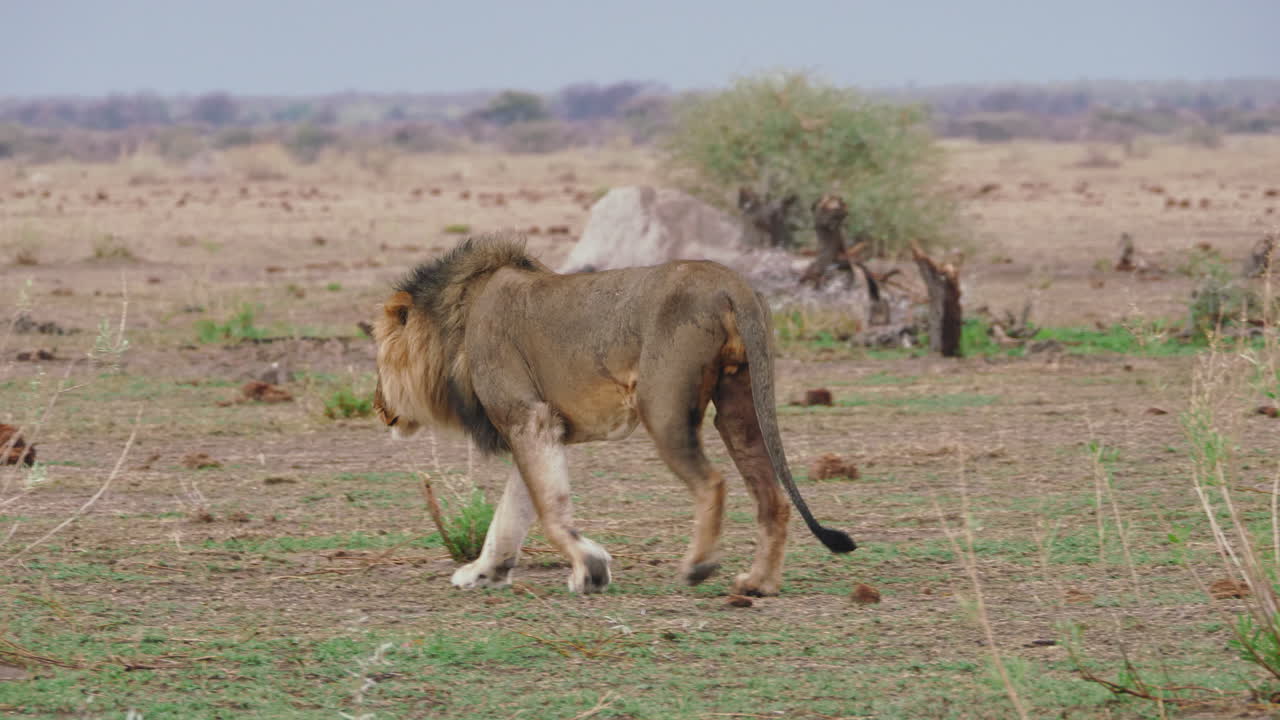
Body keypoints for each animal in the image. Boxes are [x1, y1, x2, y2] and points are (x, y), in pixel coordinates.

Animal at [373, 233, 855, 595]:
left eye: (378, 363)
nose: (378, 406)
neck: (456, 320)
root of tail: (730, 283)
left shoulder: (527, 417)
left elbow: (547, 511)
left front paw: (591, 570)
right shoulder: (539, 426)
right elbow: (514, 512)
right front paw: (484, 571)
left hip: (662, 405)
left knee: (713, 483)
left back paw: (698, 566)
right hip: (741, 403)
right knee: (772, 497)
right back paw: (759, 583)